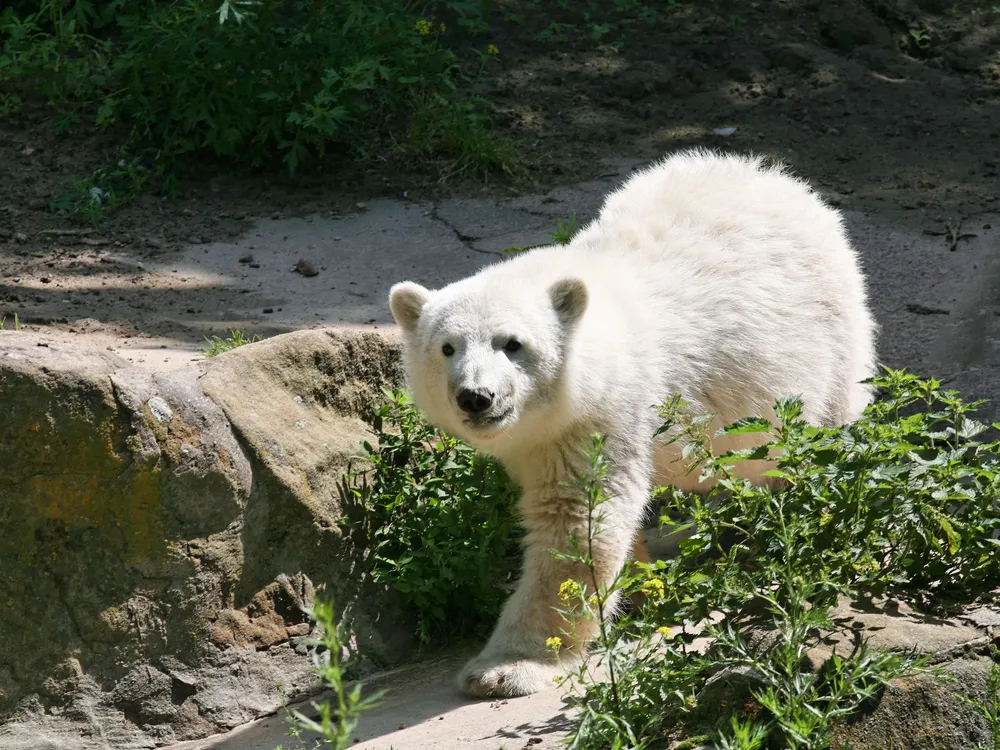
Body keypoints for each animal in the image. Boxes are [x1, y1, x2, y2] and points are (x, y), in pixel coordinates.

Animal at [387, 148, 878, 699]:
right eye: (447, 348)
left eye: (512, 343)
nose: (476, 397)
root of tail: (779, 180)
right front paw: (641, 585)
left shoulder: (609, 409)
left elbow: (576, 521)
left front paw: (503, 668)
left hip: (828, 342)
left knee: (816, 444)